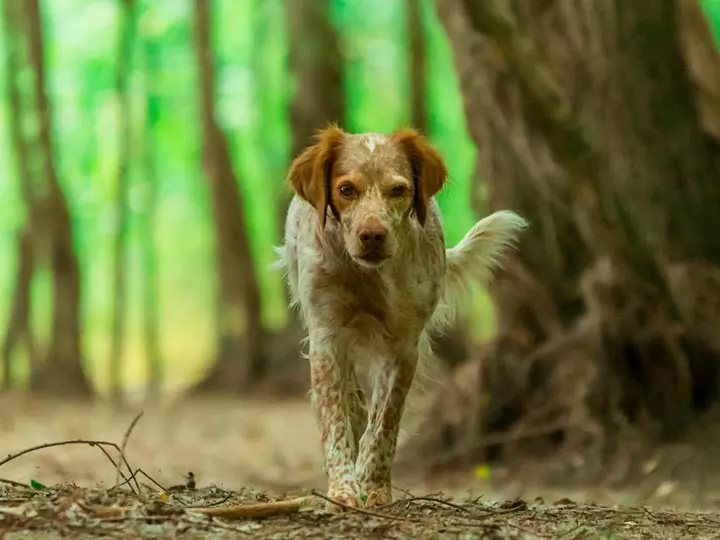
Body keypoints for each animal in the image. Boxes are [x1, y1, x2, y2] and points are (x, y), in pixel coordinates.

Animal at [272, 125, 524, 510]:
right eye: (346, 189)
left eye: (398, 190)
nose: (372, 235)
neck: (369, 275)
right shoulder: (326, 337)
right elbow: (336, 419)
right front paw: (343, 490)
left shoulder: (403, 346)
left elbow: (385, 422)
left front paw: (373, 485)